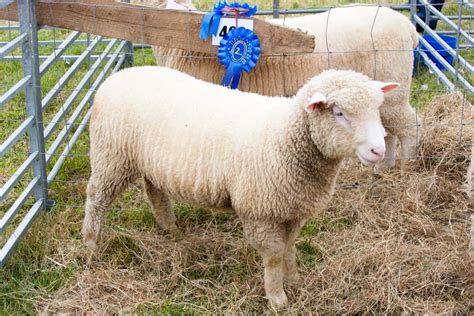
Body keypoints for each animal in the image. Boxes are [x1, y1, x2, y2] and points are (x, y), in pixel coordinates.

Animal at [82, 66, 400, 306]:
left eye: (377, 108)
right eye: (339, 113)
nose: (378, 150)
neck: (285, 136)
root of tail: (117, 76)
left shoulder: (293, 210)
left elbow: (290, 248)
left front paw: (294, 280)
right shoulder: (260, 212)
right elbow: (274, 256)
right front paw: (277, 298)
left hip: (150, 162)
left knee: (155, 193)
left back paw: (172, 230)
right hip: (111, 156)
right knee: (97, 198)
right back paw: (91, 244)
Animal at [154, 4, 420, 170]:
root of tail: (407, 26)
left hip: (394, 94)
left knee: (409, 125)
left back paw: (406, 168)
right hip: (379, 99)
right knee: (389, 131)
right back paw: (385, 166)